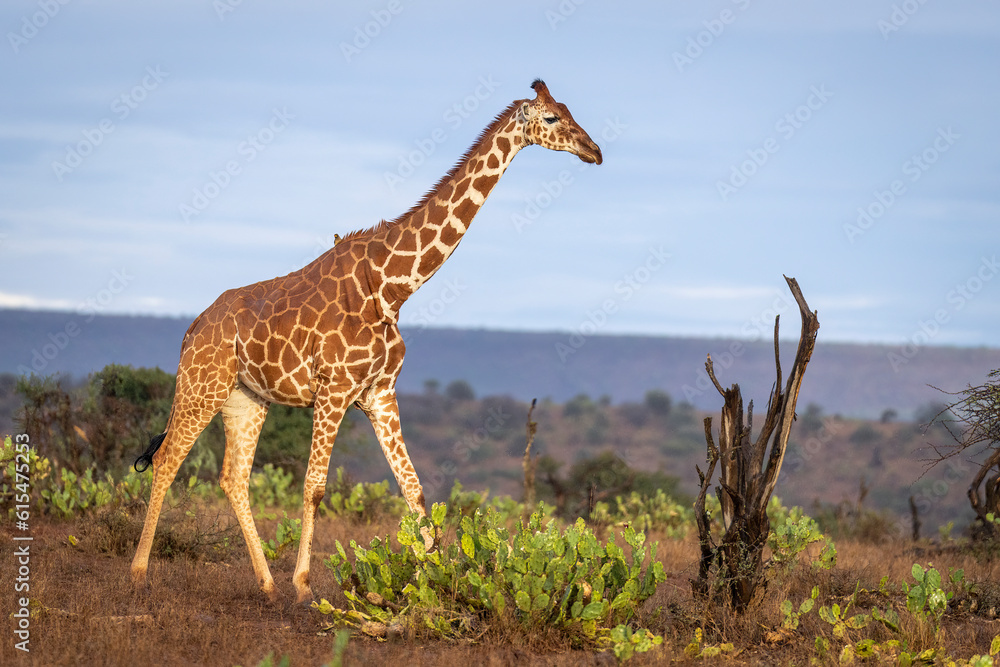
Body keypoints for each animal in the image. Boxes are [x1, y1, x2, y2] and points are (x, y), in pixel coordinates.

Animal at [130, 79, 603, 603]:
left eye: (570, 110)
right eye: (553, 118)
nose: (595, 151)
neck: (393, 285)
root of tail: (193, 327)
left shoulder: (379, 393)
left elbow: (414, 489)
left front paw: (436, 582)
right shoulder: (334, 389)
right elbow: (315, 486)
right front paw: (304, 585)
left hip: (245, 398)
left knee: (233, 479)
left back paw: (266, 583)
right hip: (202, 385)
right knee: (167, 460)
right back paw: (140, 573)